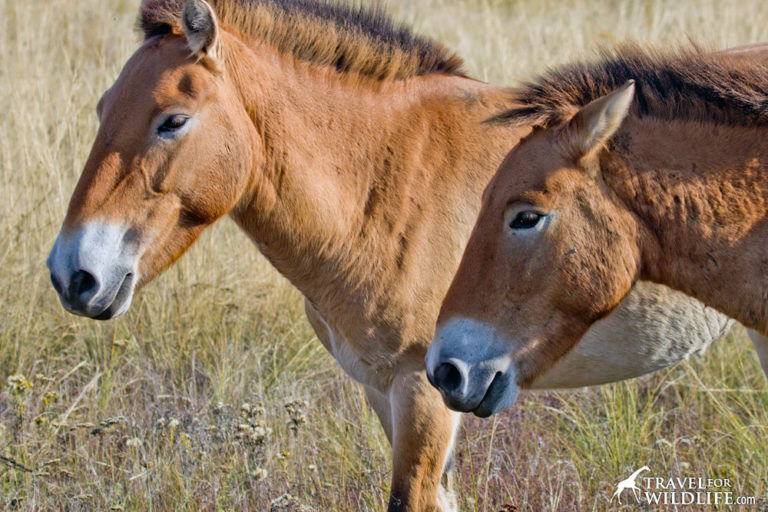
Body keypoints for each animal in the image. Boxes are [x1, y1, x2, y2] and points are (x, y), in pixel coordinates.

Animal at [45, 1, 731, 509]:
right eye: (103, 108)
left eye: (172, 120)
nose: (72, 275)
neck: (387, 179)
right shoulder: (386, 391)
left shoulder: (425, 392)